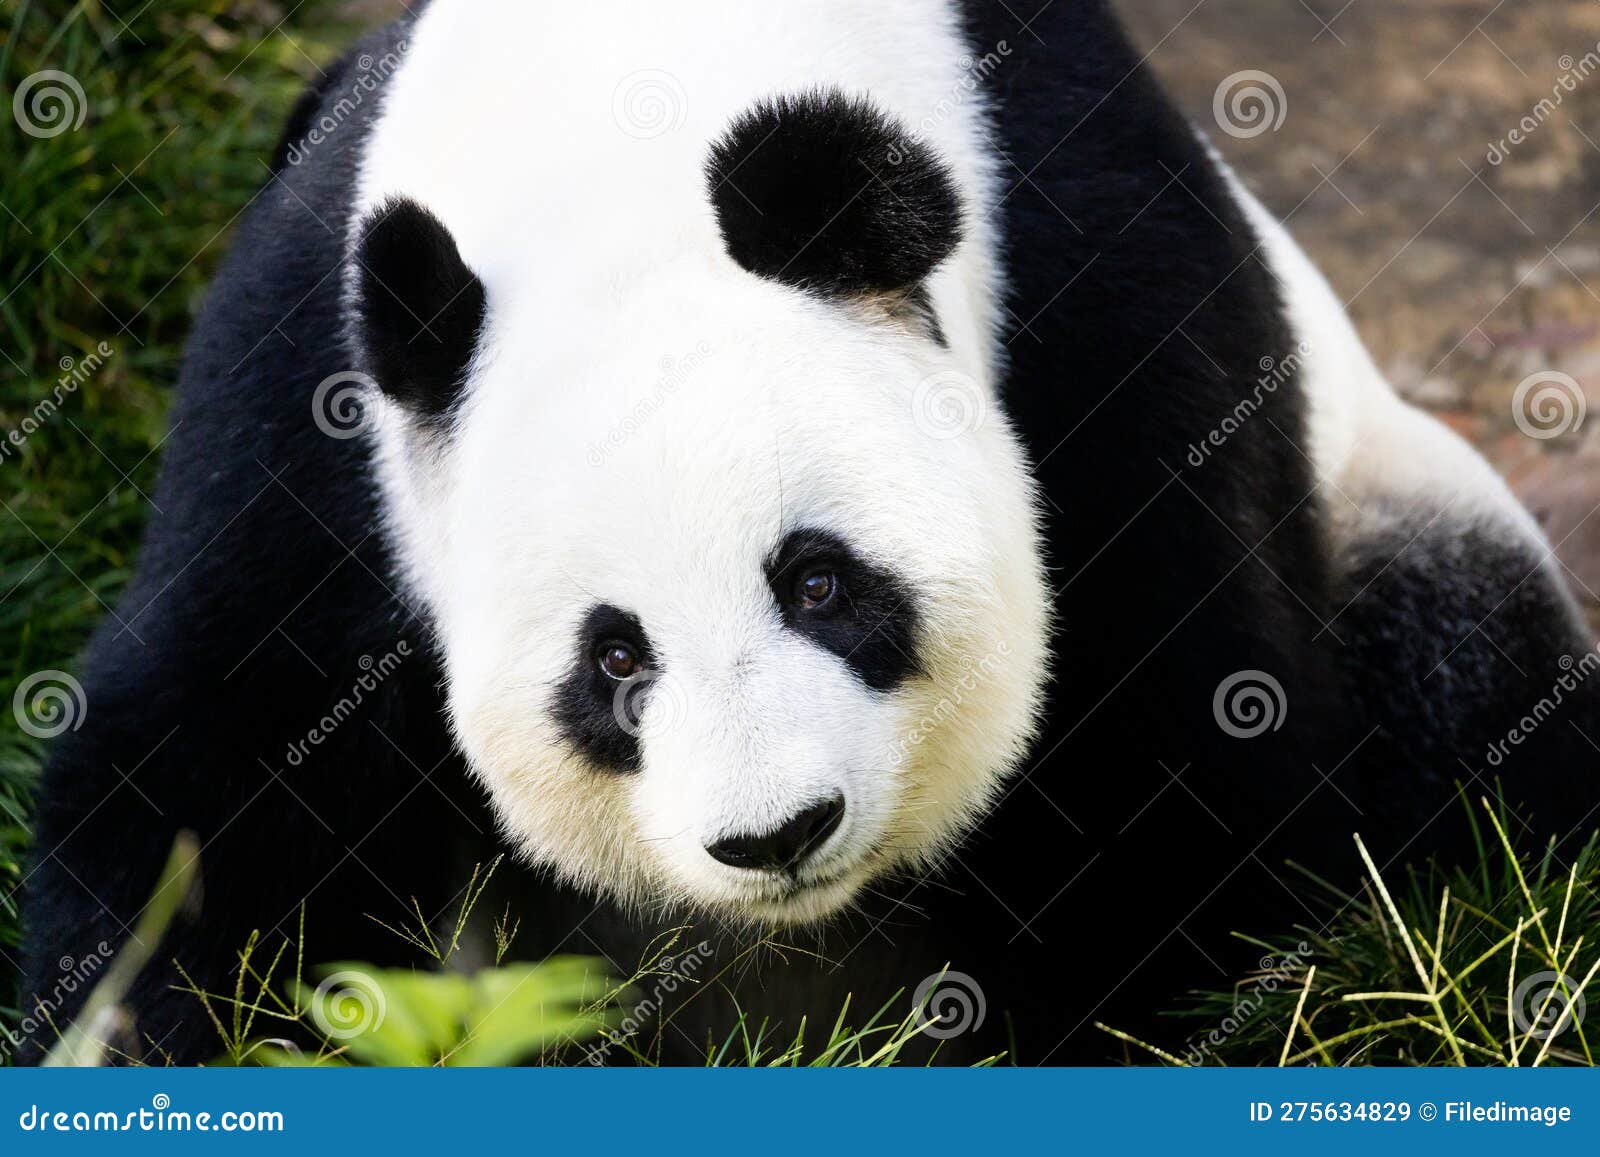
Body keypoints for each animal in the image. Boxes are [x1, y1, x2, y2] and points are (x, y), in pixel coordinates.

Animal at [21, 0, 1599, 1065]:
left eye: (822, 582)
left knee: (1476, 704)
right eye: (613, 661)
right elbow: (199, 761)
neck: (624, 133)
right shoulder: (319, 396)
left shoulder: (1104, 301)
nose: (776, 834)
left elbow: (1197, 767)